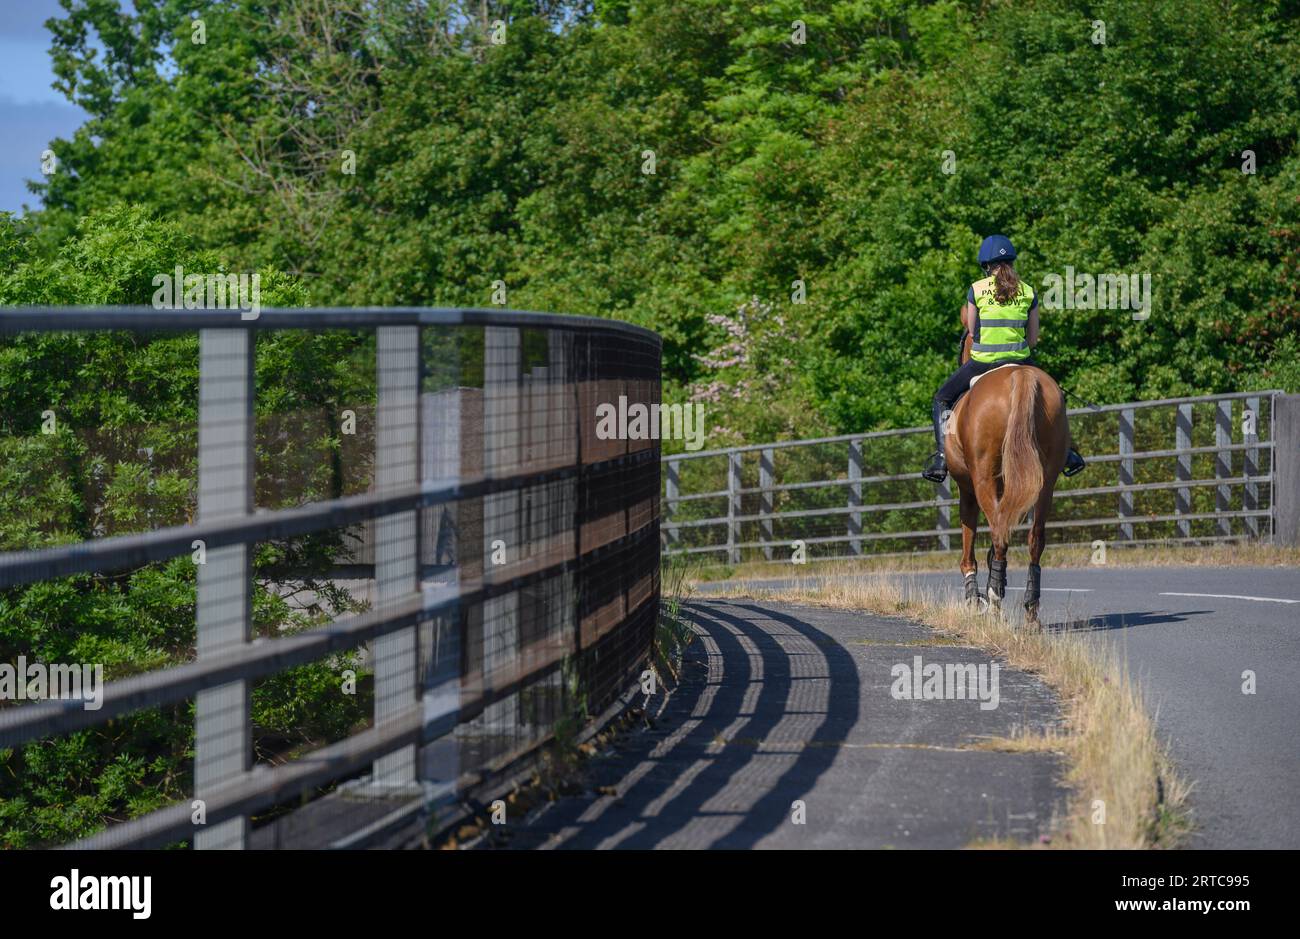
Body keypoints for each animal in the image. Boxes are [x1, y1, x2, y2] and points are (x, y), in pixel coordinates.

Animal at [944, 333, 1071, 626]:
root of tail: (1019, 376)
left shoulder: (967, 491)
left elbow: (969, 543)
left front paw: (974, 598)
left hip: (983, 481)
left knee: (1000, 534)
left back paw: (993, 604)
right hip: (1045, 483)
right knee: (1035, 538)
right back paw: (1030, 611)